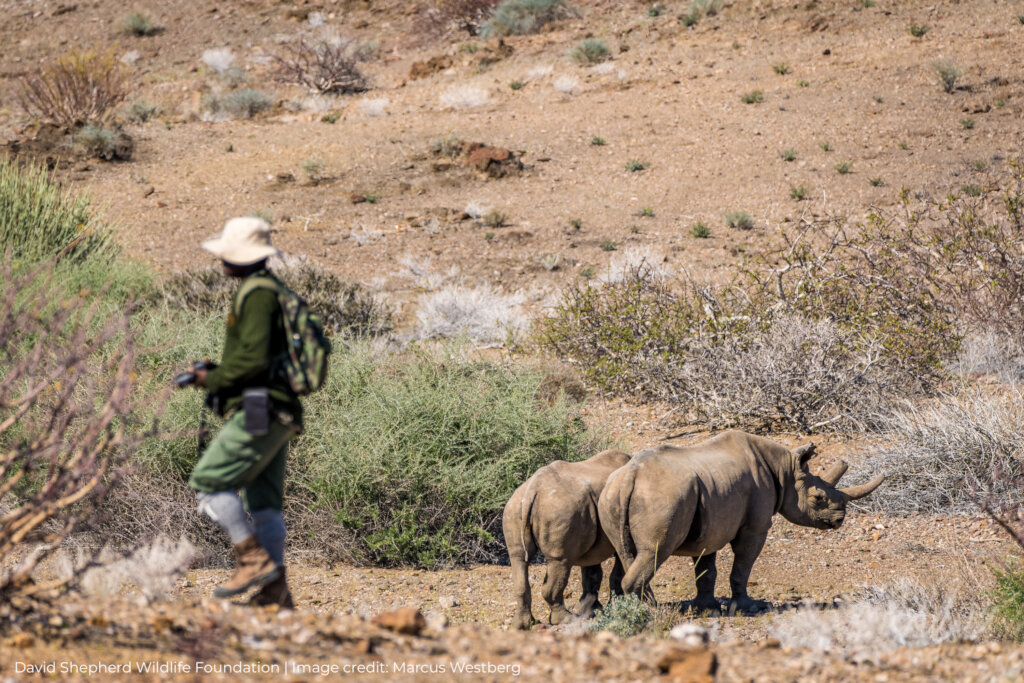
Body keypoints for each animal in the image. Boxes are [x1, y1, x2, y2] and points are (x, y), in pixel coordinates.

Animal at [502, 449, 632, 629]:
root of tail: (532, 490)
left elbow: (592, 574)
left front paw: (592, 611)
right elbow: (617, 573)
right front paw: (615, 608)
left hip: (514, 508)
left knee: (518, 559)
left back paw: (523, 625)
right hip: (559, 509)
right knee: (560, 560)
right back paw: (566, 620)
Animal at [597, 431, 883, 612]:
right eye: (818, 498)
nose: (840, 519)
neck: (784, 468)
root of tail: (630, 476)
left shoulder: (710, 521)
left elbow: (706, 570)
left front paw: (708, 607)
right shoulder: (754, 527)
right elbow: (743, 566)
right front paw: (747, 606)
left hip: (612, 495)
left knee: (628, 553)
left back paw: (643, 608)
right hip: (662, 498)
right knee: (653, 552)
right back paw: (654, 613)